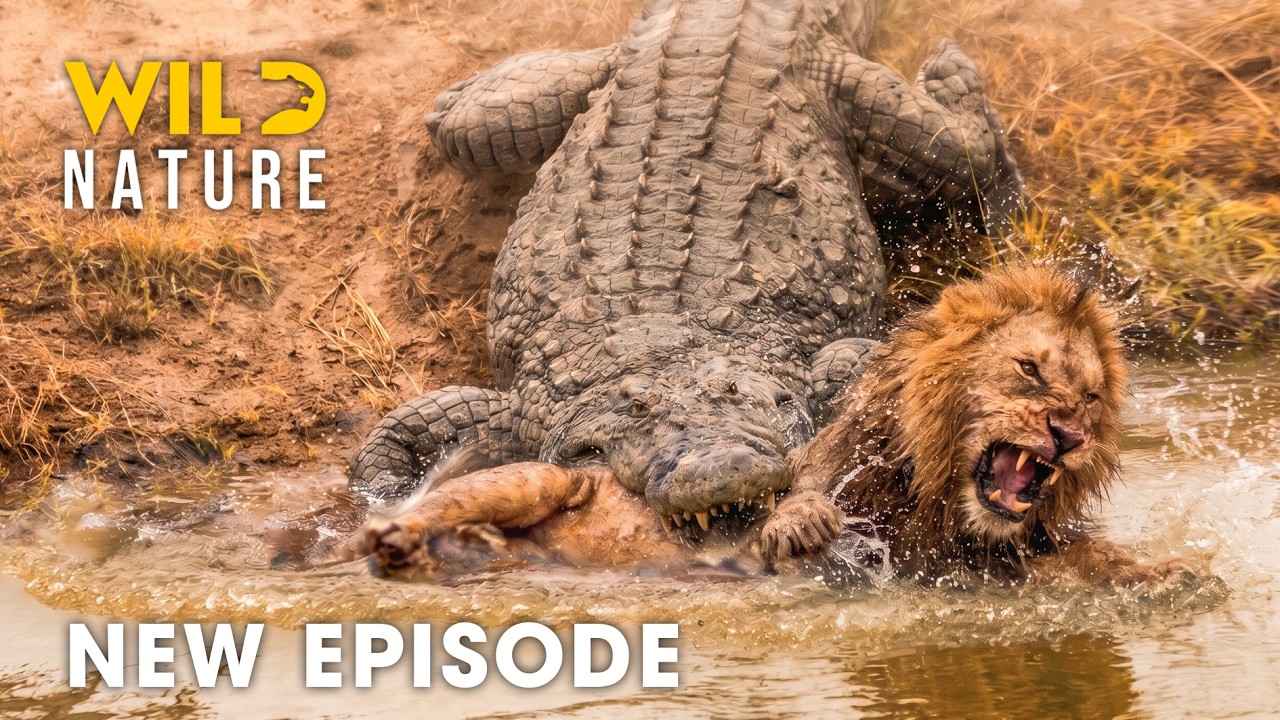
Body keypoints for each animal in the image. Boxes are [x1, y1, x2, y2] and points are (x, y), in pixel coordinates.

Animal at [760, 264, 1202, 588]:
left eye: (1091, 397)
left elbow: (1097, 555)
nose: (1069, 437)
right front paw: (801, 522)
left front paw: (1161, 574)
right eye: (1029, 368)